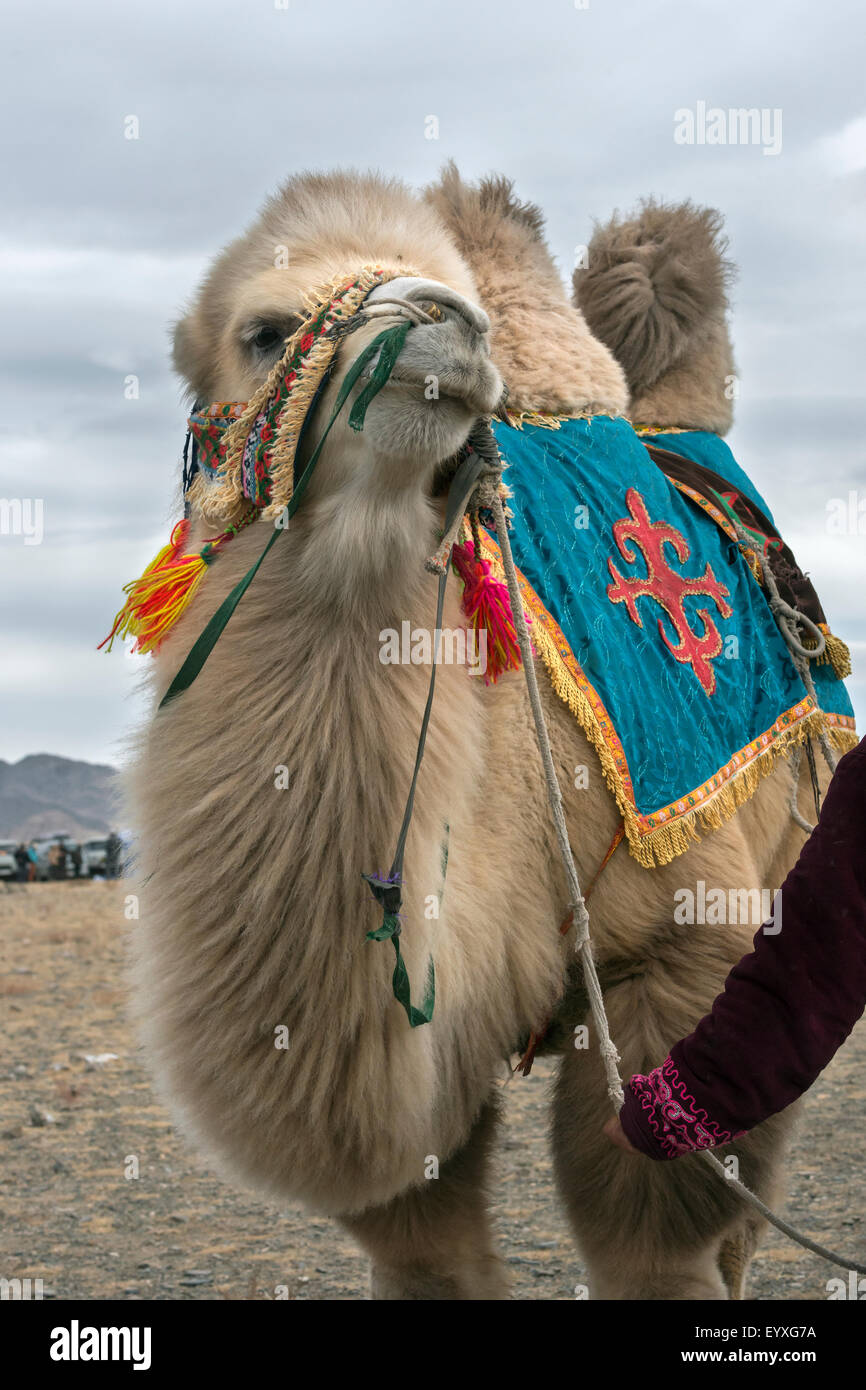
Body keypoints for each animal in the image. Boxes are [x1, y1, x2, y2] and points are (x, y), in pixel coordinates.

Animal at [126, 168, 833, 1300]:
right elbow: (425, 1245)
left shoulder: (687, 951)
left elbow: (654, 1229)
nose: (445, 321)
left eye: (471, 312)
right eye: (265, 331)